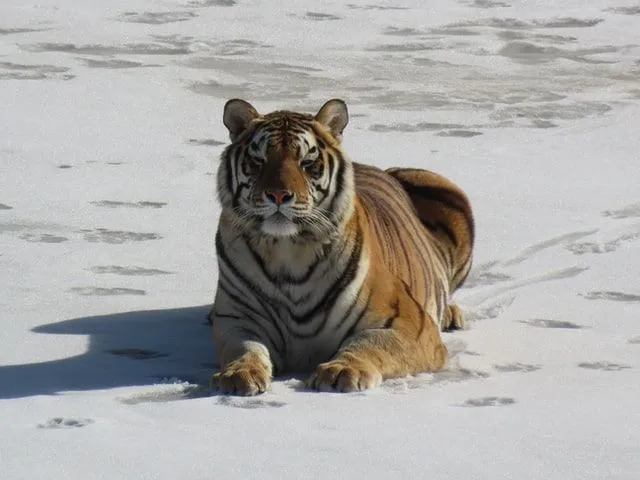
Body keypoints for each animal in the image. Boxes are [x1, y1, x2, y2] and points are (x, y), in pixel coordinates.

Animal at [211, 97, 476, 394]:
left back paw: (451, 315)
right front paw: (239, 373)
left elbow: (371, 343)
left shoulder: (410, 324)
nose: (278, 195)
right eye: (258, 161)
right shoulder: (239, 319)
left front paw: (342, 369)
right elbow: (245, 348)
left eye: (307, 162)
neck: (288, 250)